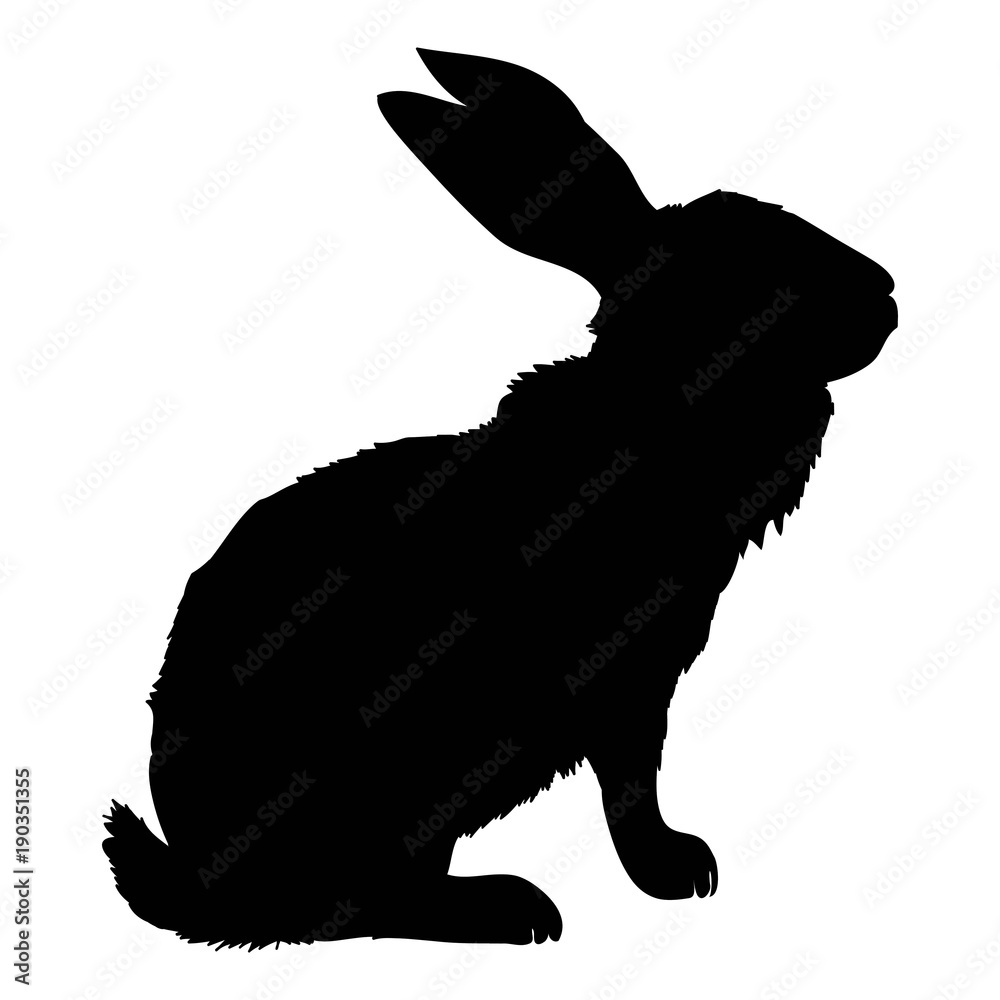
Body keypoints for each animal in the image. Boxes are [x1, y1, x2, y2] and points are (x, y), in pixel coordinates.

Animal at [103, 48, 897, 950]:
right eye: (749, 269)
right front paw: (675, 872)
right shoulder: (623, 685)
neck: (658, 411)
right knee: (362, 905)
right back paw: (511, 908)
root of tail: (206, 879)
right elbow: (629, 784)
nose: (886, 293)